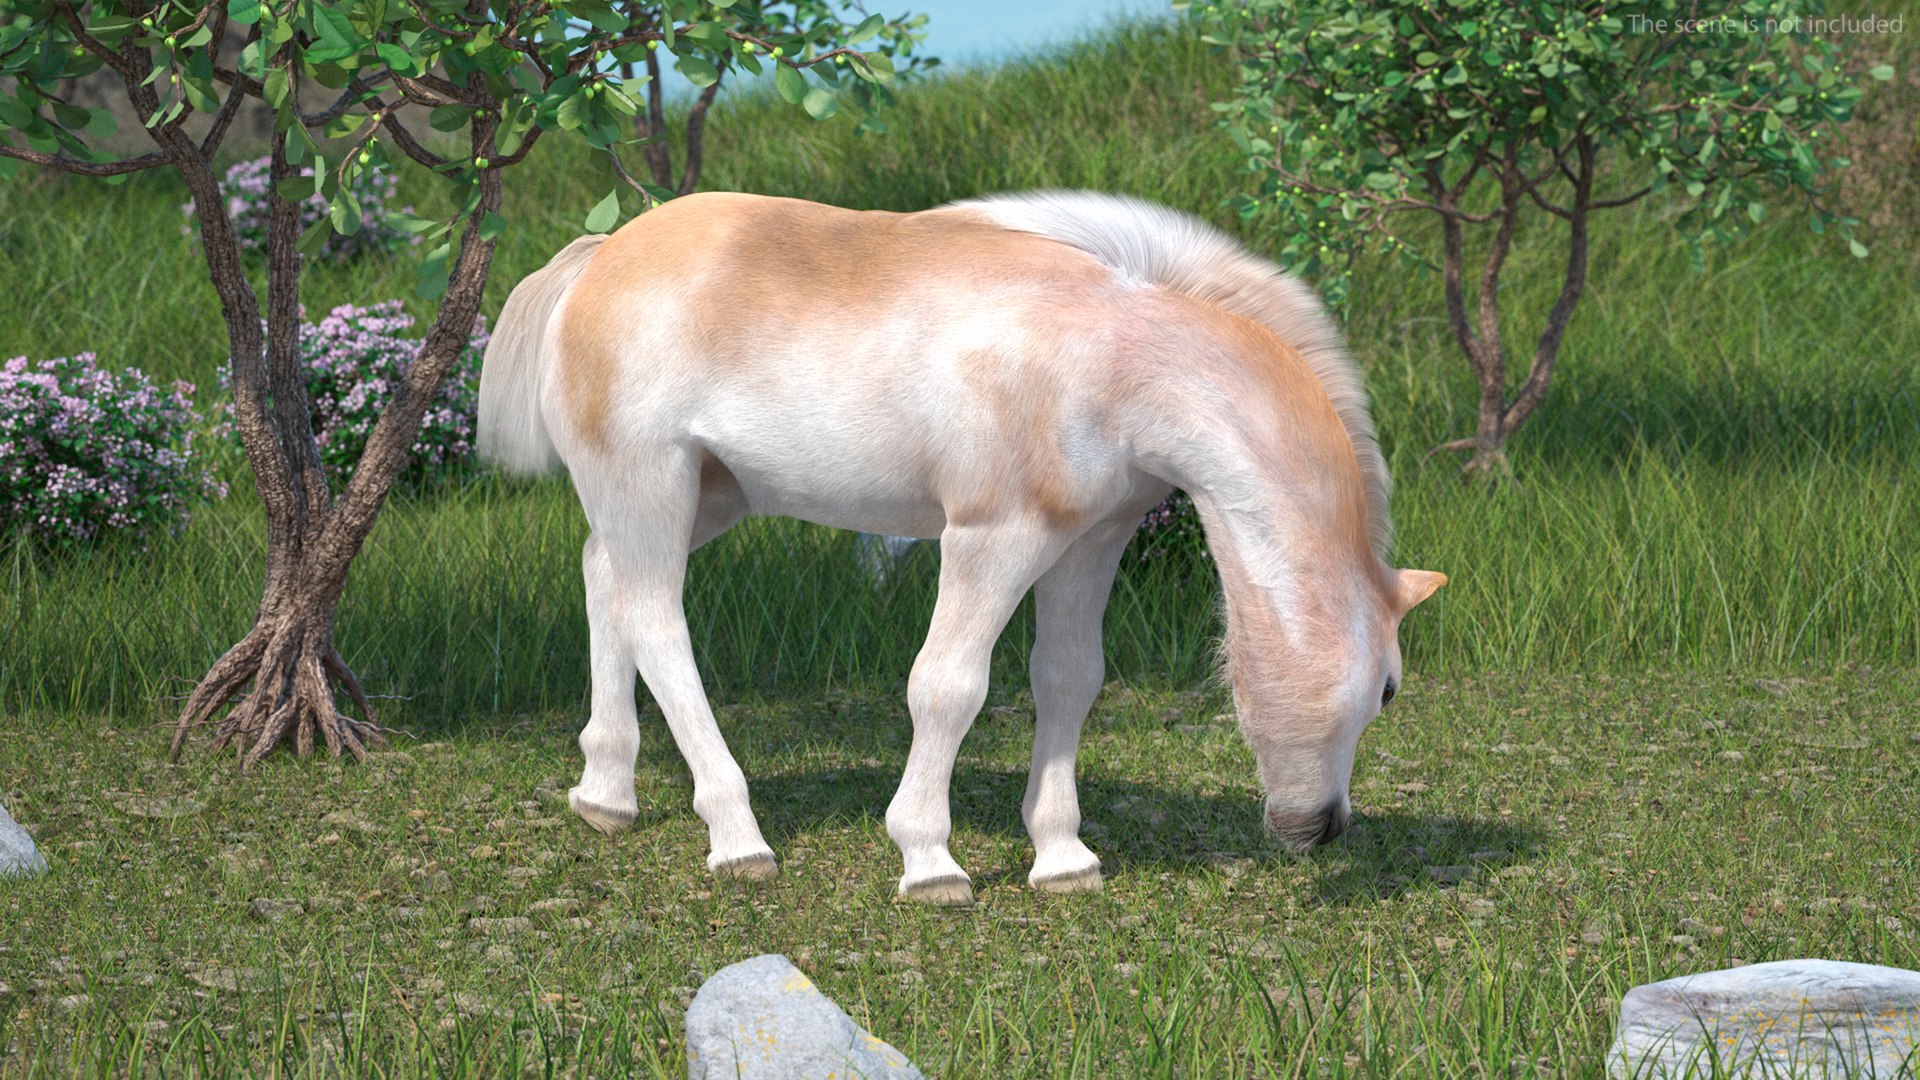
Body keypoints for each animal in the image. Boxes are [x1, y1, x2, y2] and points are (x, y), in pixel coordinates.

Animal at [477, 190, 1445, 906]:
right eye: (1389, 690)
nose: (1323, 828)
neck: (1112, 359)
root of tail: (597, 258)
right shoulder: (990, 539)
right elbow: (948, 687)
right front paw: (929, 861)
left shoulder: (1088, 542)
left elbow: (1068, 679)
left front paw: (1063, 857)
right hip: (651, 484)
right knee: (658, 625)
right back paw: (737, 837)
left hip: (701, 498)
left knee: (604, 581)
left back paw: (607, 794)